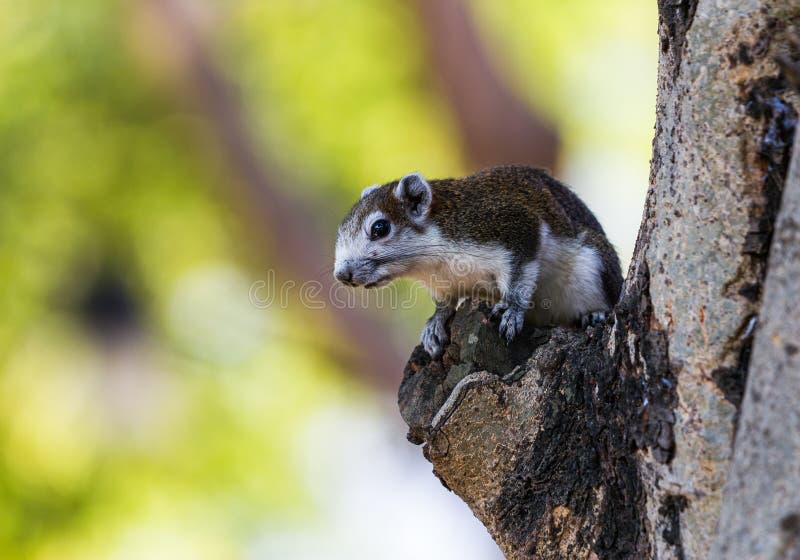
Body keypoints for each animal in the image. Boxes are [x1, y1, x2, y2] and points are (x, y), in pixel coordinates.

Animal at [334, 165, 623, 359]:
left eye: (380, 228)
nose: (342, 274)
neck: (431, 261)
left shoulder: (508, 225)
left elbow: (519, 274)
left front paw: (512, 310)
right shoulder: (443, 283)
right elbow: (446, 302)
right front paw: (436, 321)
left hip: (592, 266)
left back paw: (595, 314)